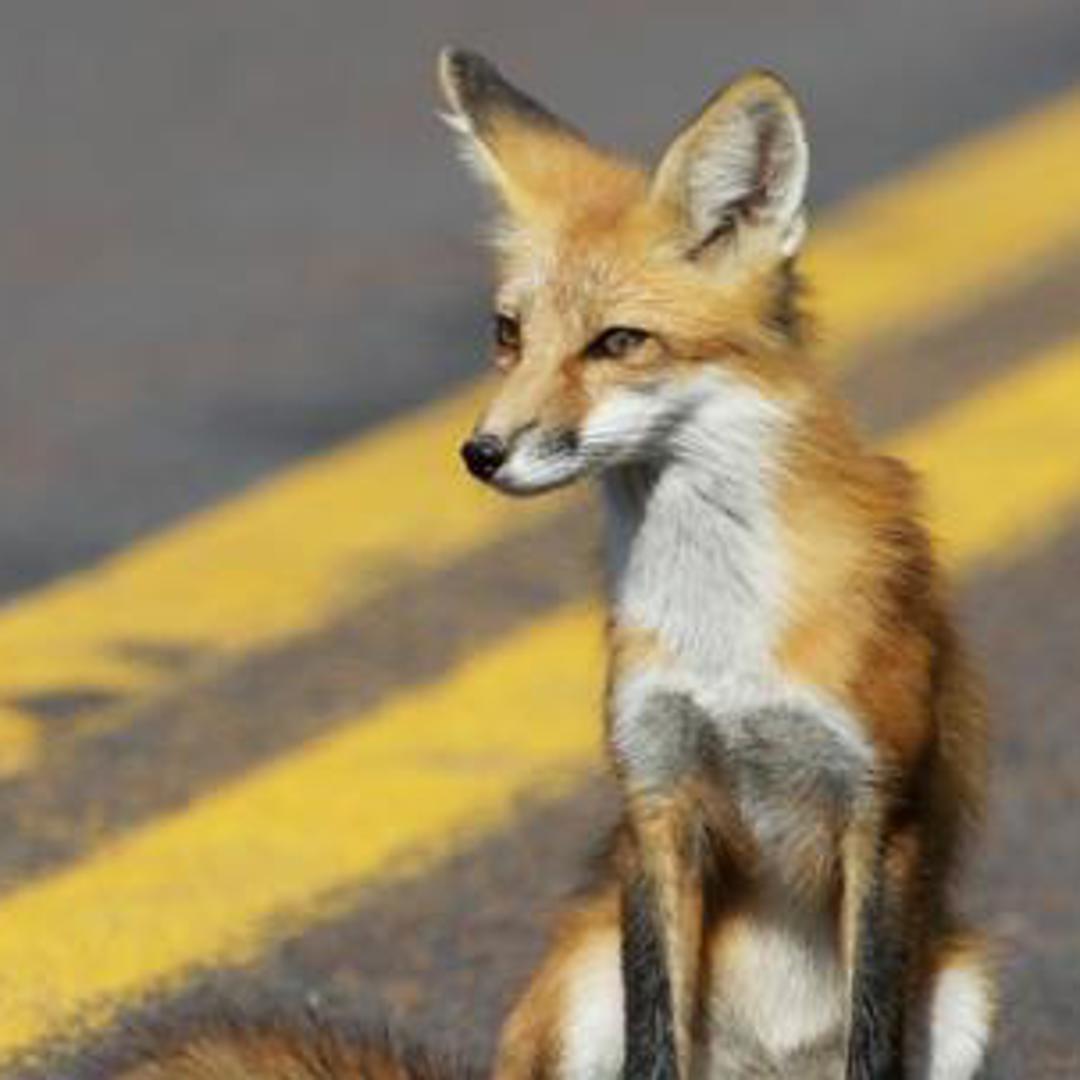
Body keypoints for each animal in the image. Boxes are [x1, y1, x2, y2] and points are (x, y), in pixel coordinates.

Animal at [440, 48, 995, 1080]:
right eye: (508, 335)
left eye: (619, 342)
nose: (481, 453)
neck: (725, 639)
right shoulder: (656, 800)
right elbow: (657, 1035)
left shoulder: (880, 809)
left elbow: (872, 1040)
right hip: (581, 982)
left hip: (965, 991)